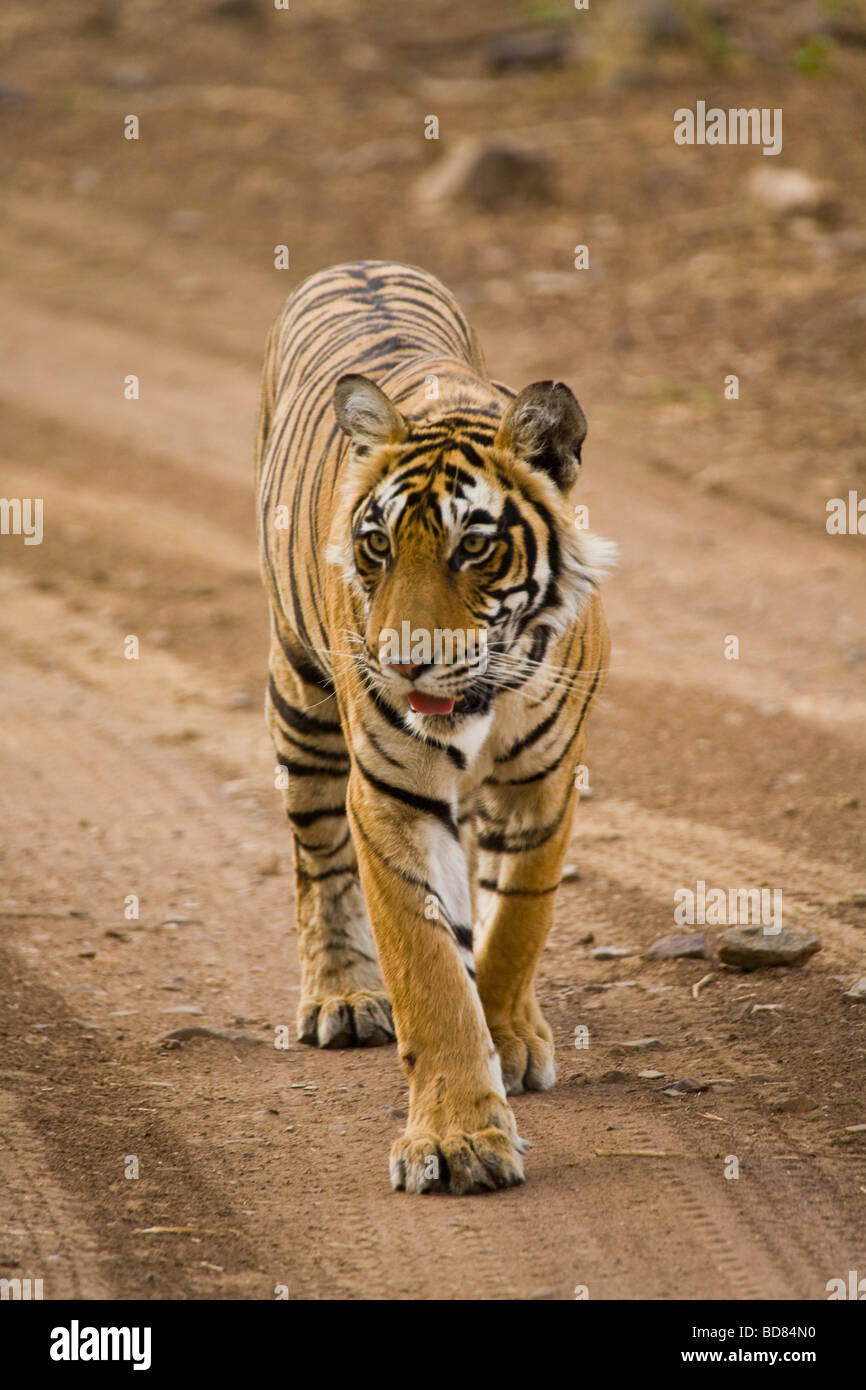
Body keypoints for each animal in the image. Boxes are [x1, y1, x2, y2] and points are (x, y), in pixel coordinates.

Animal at [255, 259, 613, 1195]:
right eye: (378, 545)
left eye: (473, 549)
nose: (405, 664)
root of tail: (360, 260)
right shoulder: (392, 796)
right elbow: (428, 972)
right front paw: (456, 1139)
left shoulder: (544, 786)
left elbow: (518, 920)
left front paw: (510, 1033)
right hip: (297, 696)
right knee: (317, 862)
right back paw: (342, 998)